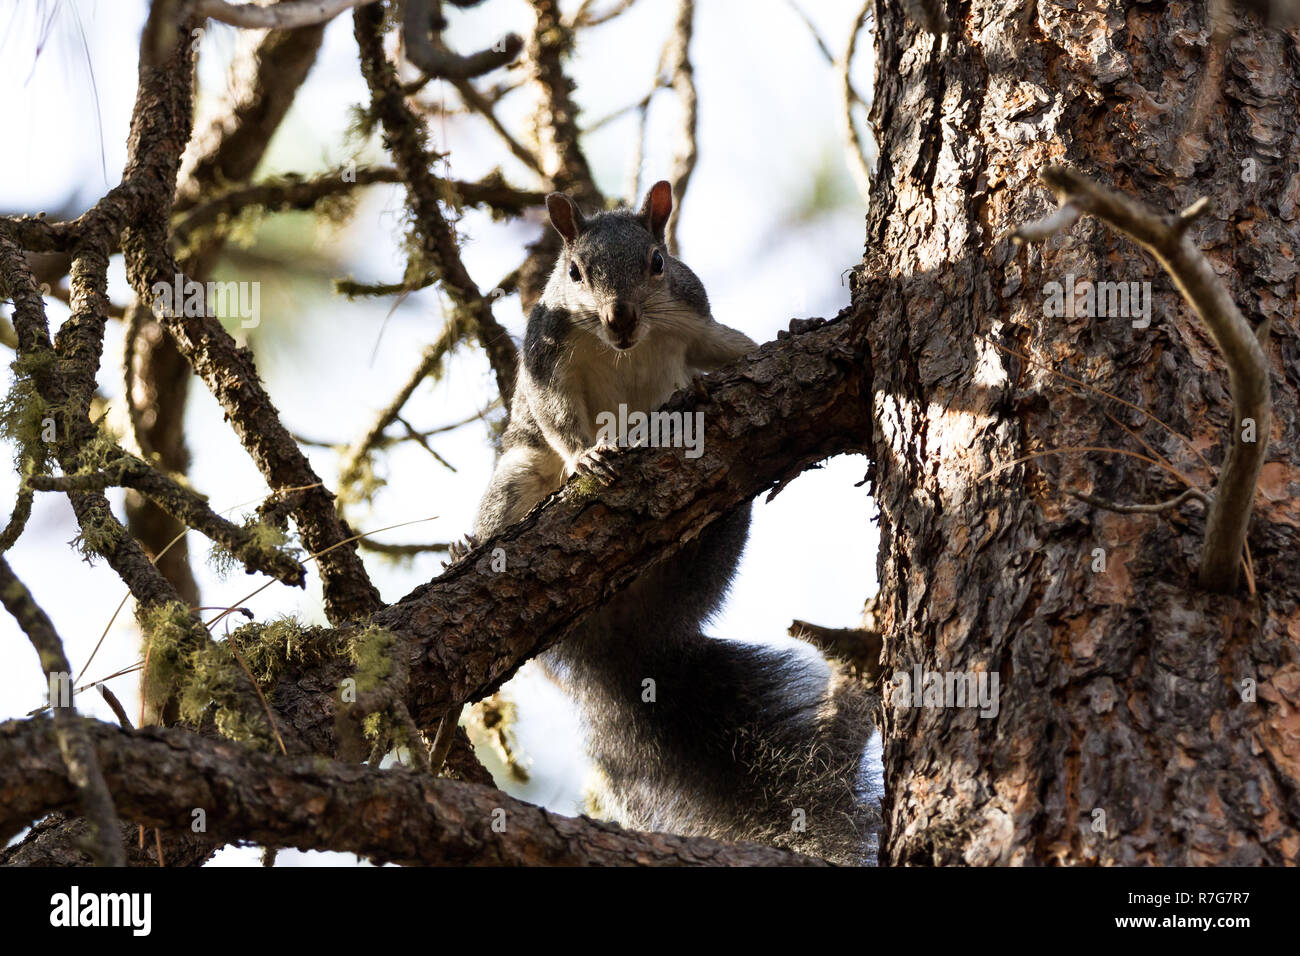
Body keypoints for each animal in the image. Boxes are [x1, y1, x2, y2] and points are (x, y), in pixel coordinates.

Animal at [457, 181, 879, 863]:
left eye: (658, 261)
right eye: (574, 272)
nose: (620, 317)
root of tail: (626, 633)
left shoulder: (692, 317)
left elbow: (731, 348)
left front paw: (796, 328)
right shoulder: (547, 354)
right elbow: (555, 414)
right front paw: (587, 456)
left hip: (727, 522)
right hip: (518, 475)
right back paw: (471, 544)